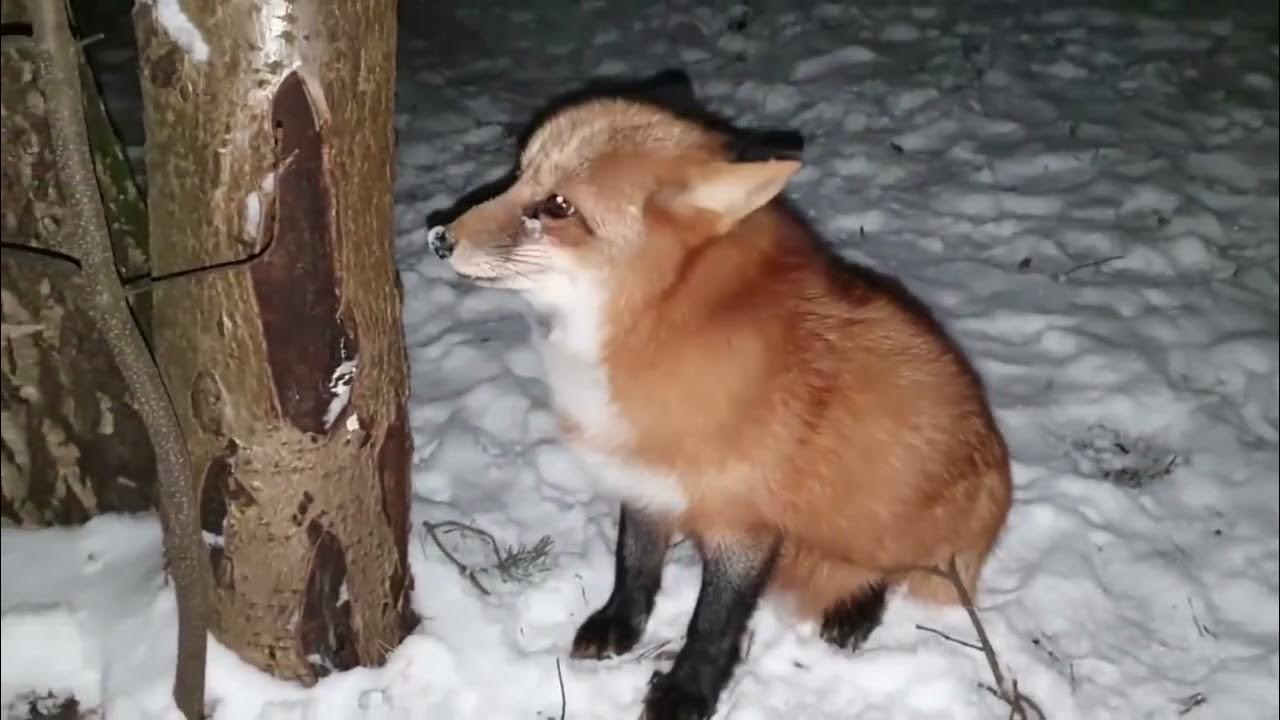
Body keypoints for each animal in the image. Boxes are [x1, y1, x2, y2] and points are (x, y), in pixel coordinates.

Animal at [427, 75, 1013, 720]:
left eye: (558, 207)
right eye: (518, 174)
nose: (437, 237)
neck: (653, 331)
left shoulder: (744, 521)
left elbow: (714, 622)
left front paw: (687, 692)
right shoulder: (646, 481)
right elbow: (634, 565)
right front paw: (620, 627)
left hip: (886, 512)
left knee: (897, 567)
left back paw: (856, 608)